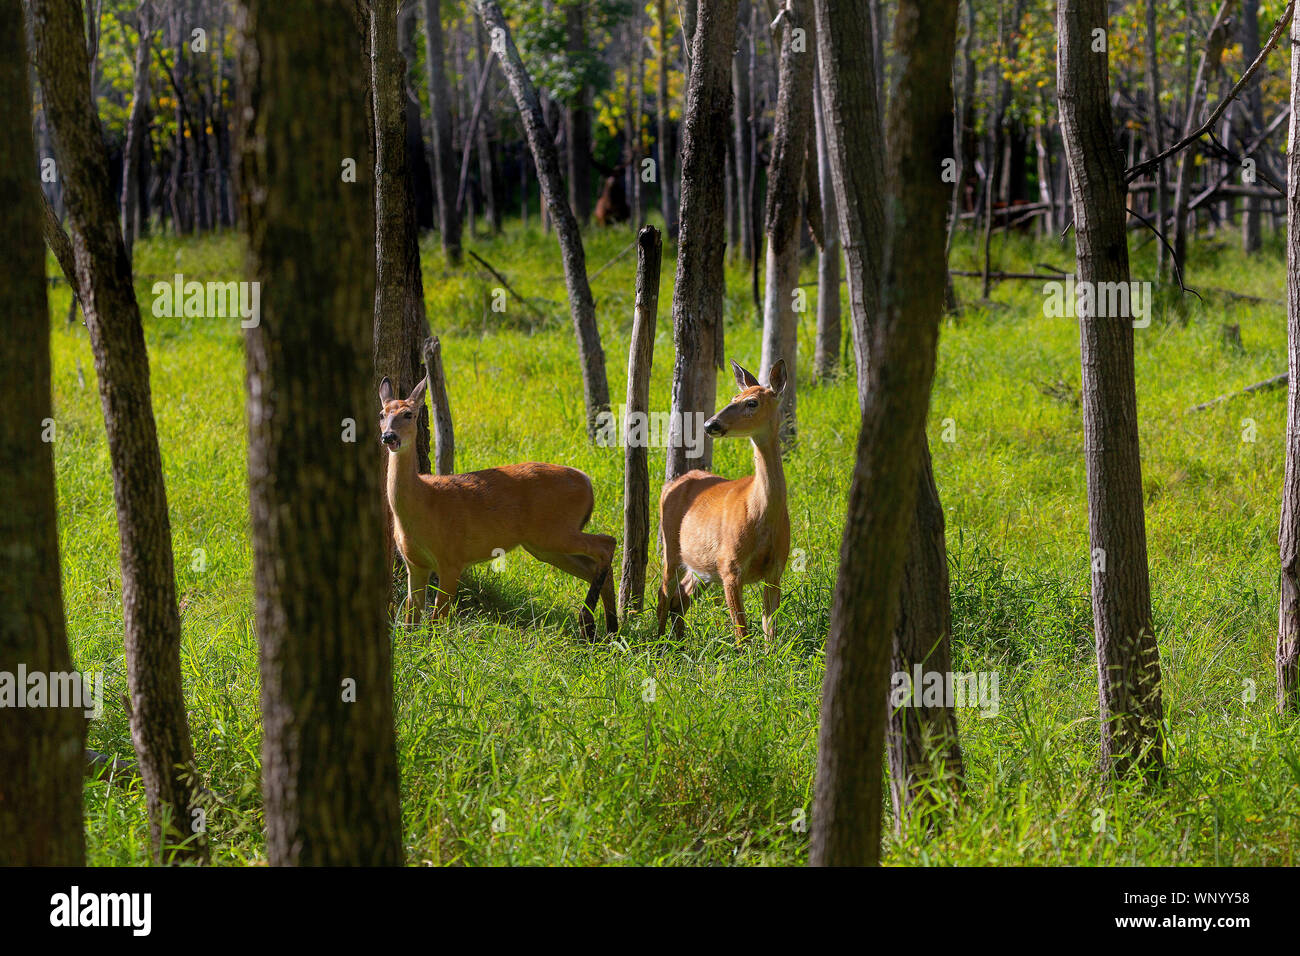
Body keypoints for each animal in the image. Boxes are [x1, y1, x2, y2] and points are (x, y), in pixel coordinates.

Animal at [379, 375, 618, 639]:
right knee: (596, 566)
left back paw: (590, 622)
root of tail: (587, 482)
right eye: (382, 414)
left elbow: (436, 620)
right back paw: (610, 630)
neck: (422, 503)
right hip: (544, 545)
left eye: (408, 414)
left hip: (557, 531)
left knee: (607, 543)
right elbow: (411, 619)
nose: (389, 436)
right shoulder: (415, 564)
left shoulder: (452, 558)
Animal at [656, 359, 790, 643]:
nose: (710, 424)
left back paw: (677, 642)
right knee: (664, 593)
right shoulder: (730, 567)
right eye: (732, 398)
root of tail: (671, 484)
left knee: (681, 595)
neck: (761, 514)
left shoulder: (775, 570)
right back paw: (659, 640)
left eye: (752, 402)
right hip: (671, 546)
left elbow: (769, 630)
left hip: (703, 564)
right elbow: (742, 632)